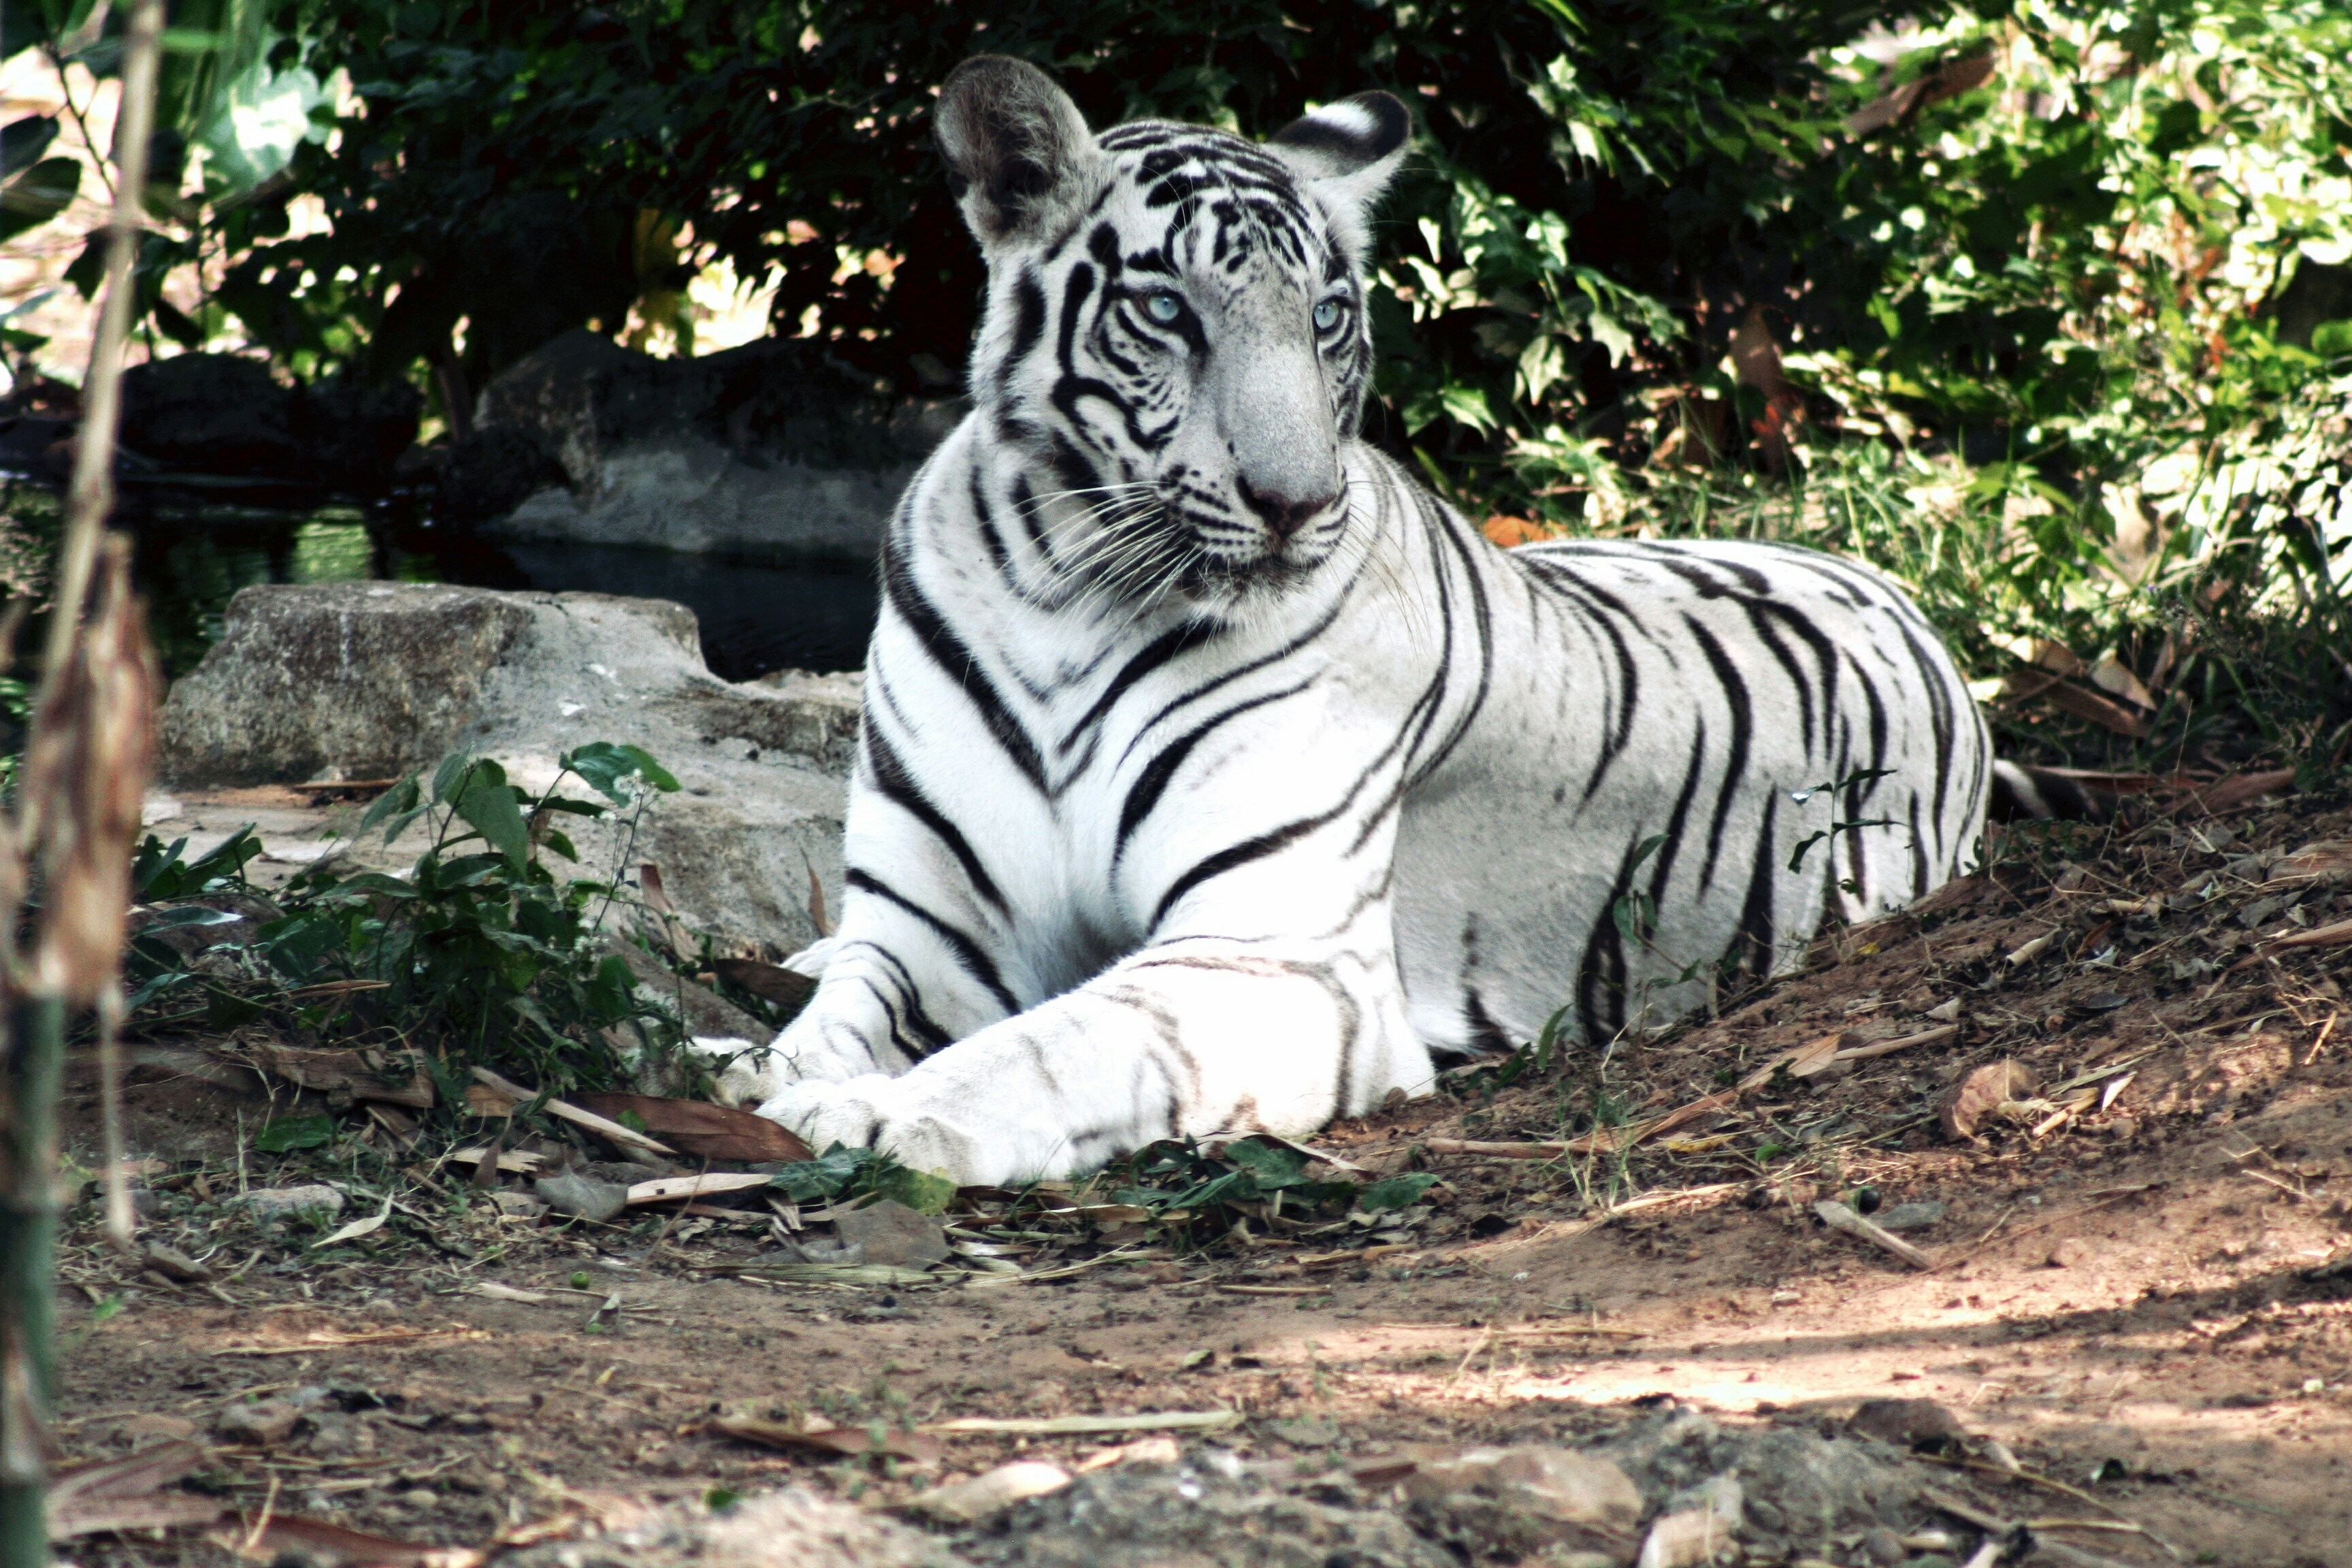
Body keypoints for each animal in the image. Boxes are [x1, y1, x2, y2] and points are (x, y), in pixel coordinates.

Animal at [703, 55, 2009, 1187]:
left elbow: (1054, 1041)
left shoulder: (1273, 952)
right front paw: (776, 1068)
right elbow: (839, 1014)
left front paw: (884, 1115)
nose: (1295, 503)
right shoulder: (929, 930)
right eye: (1168, 310)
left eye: (1327, 316)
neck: (1066, 585)